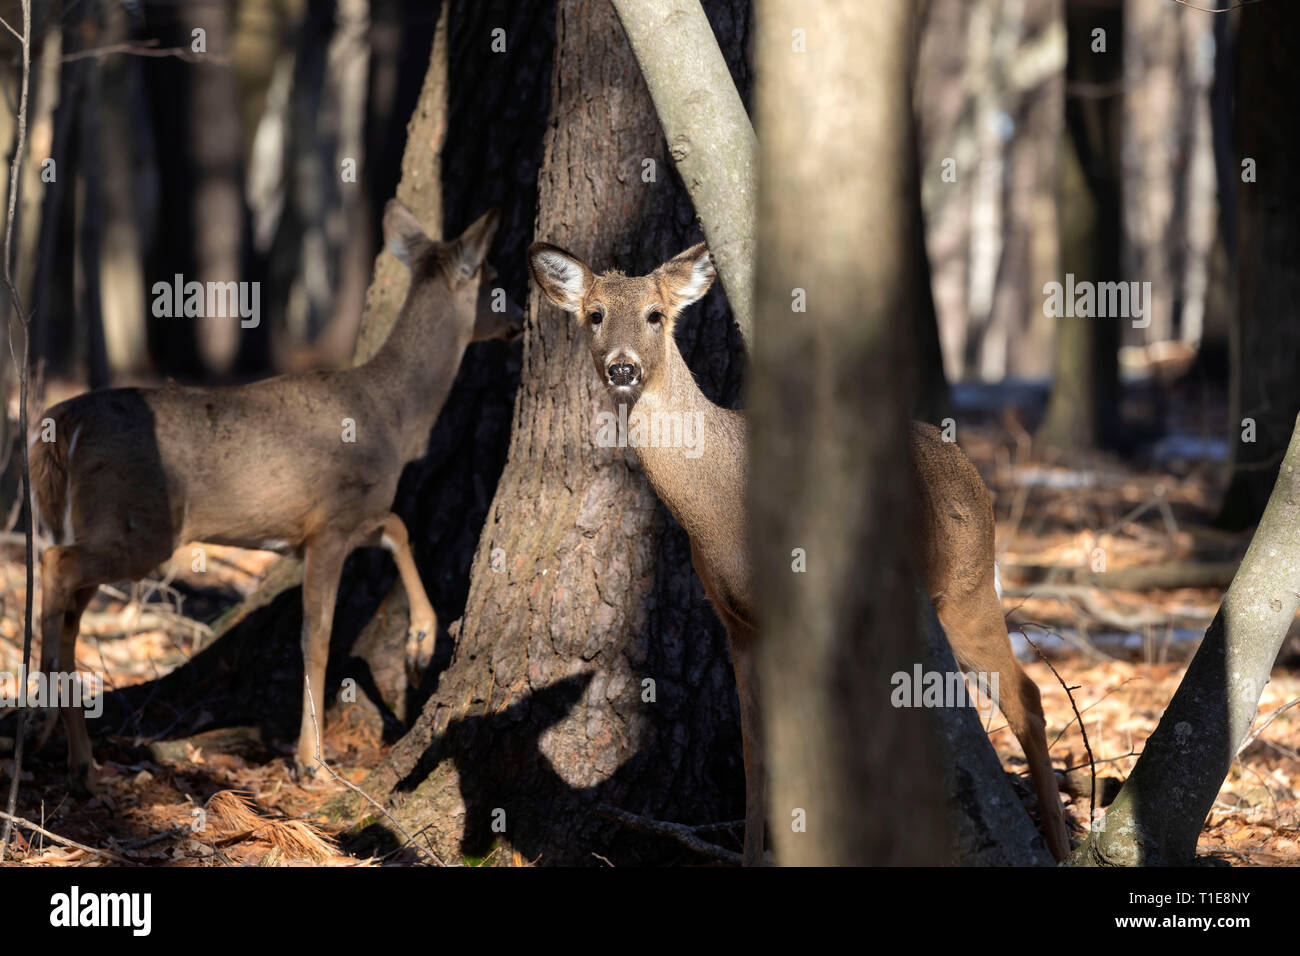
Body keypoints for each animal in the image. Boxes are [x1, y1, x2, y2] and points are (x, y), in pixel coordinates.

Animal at [29, 199, 521, 795]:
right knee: (56, 565)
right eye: (494, 280)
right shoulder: (331, 523)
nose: (522, 318)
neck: (394, 418)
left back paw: (78, 758)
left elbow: (398, 527)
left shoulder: (338, 519)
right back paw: (52, 728)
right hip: (139, 525)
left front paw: (420, 642)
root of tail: (62, 420)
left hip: (100, 521)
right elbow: (318, 636)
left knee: (71, 612)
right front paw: (313, 762)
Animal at [529, 240, 1071, 866]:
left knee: (1026, 695)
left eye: (655, 315)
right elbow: (755, 753)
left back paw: (1056, 847)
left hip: (967, 588)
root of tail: (973, 471)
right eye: (594, 315)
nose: (623, 367)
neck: (721, 506)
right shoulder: (736, 622)